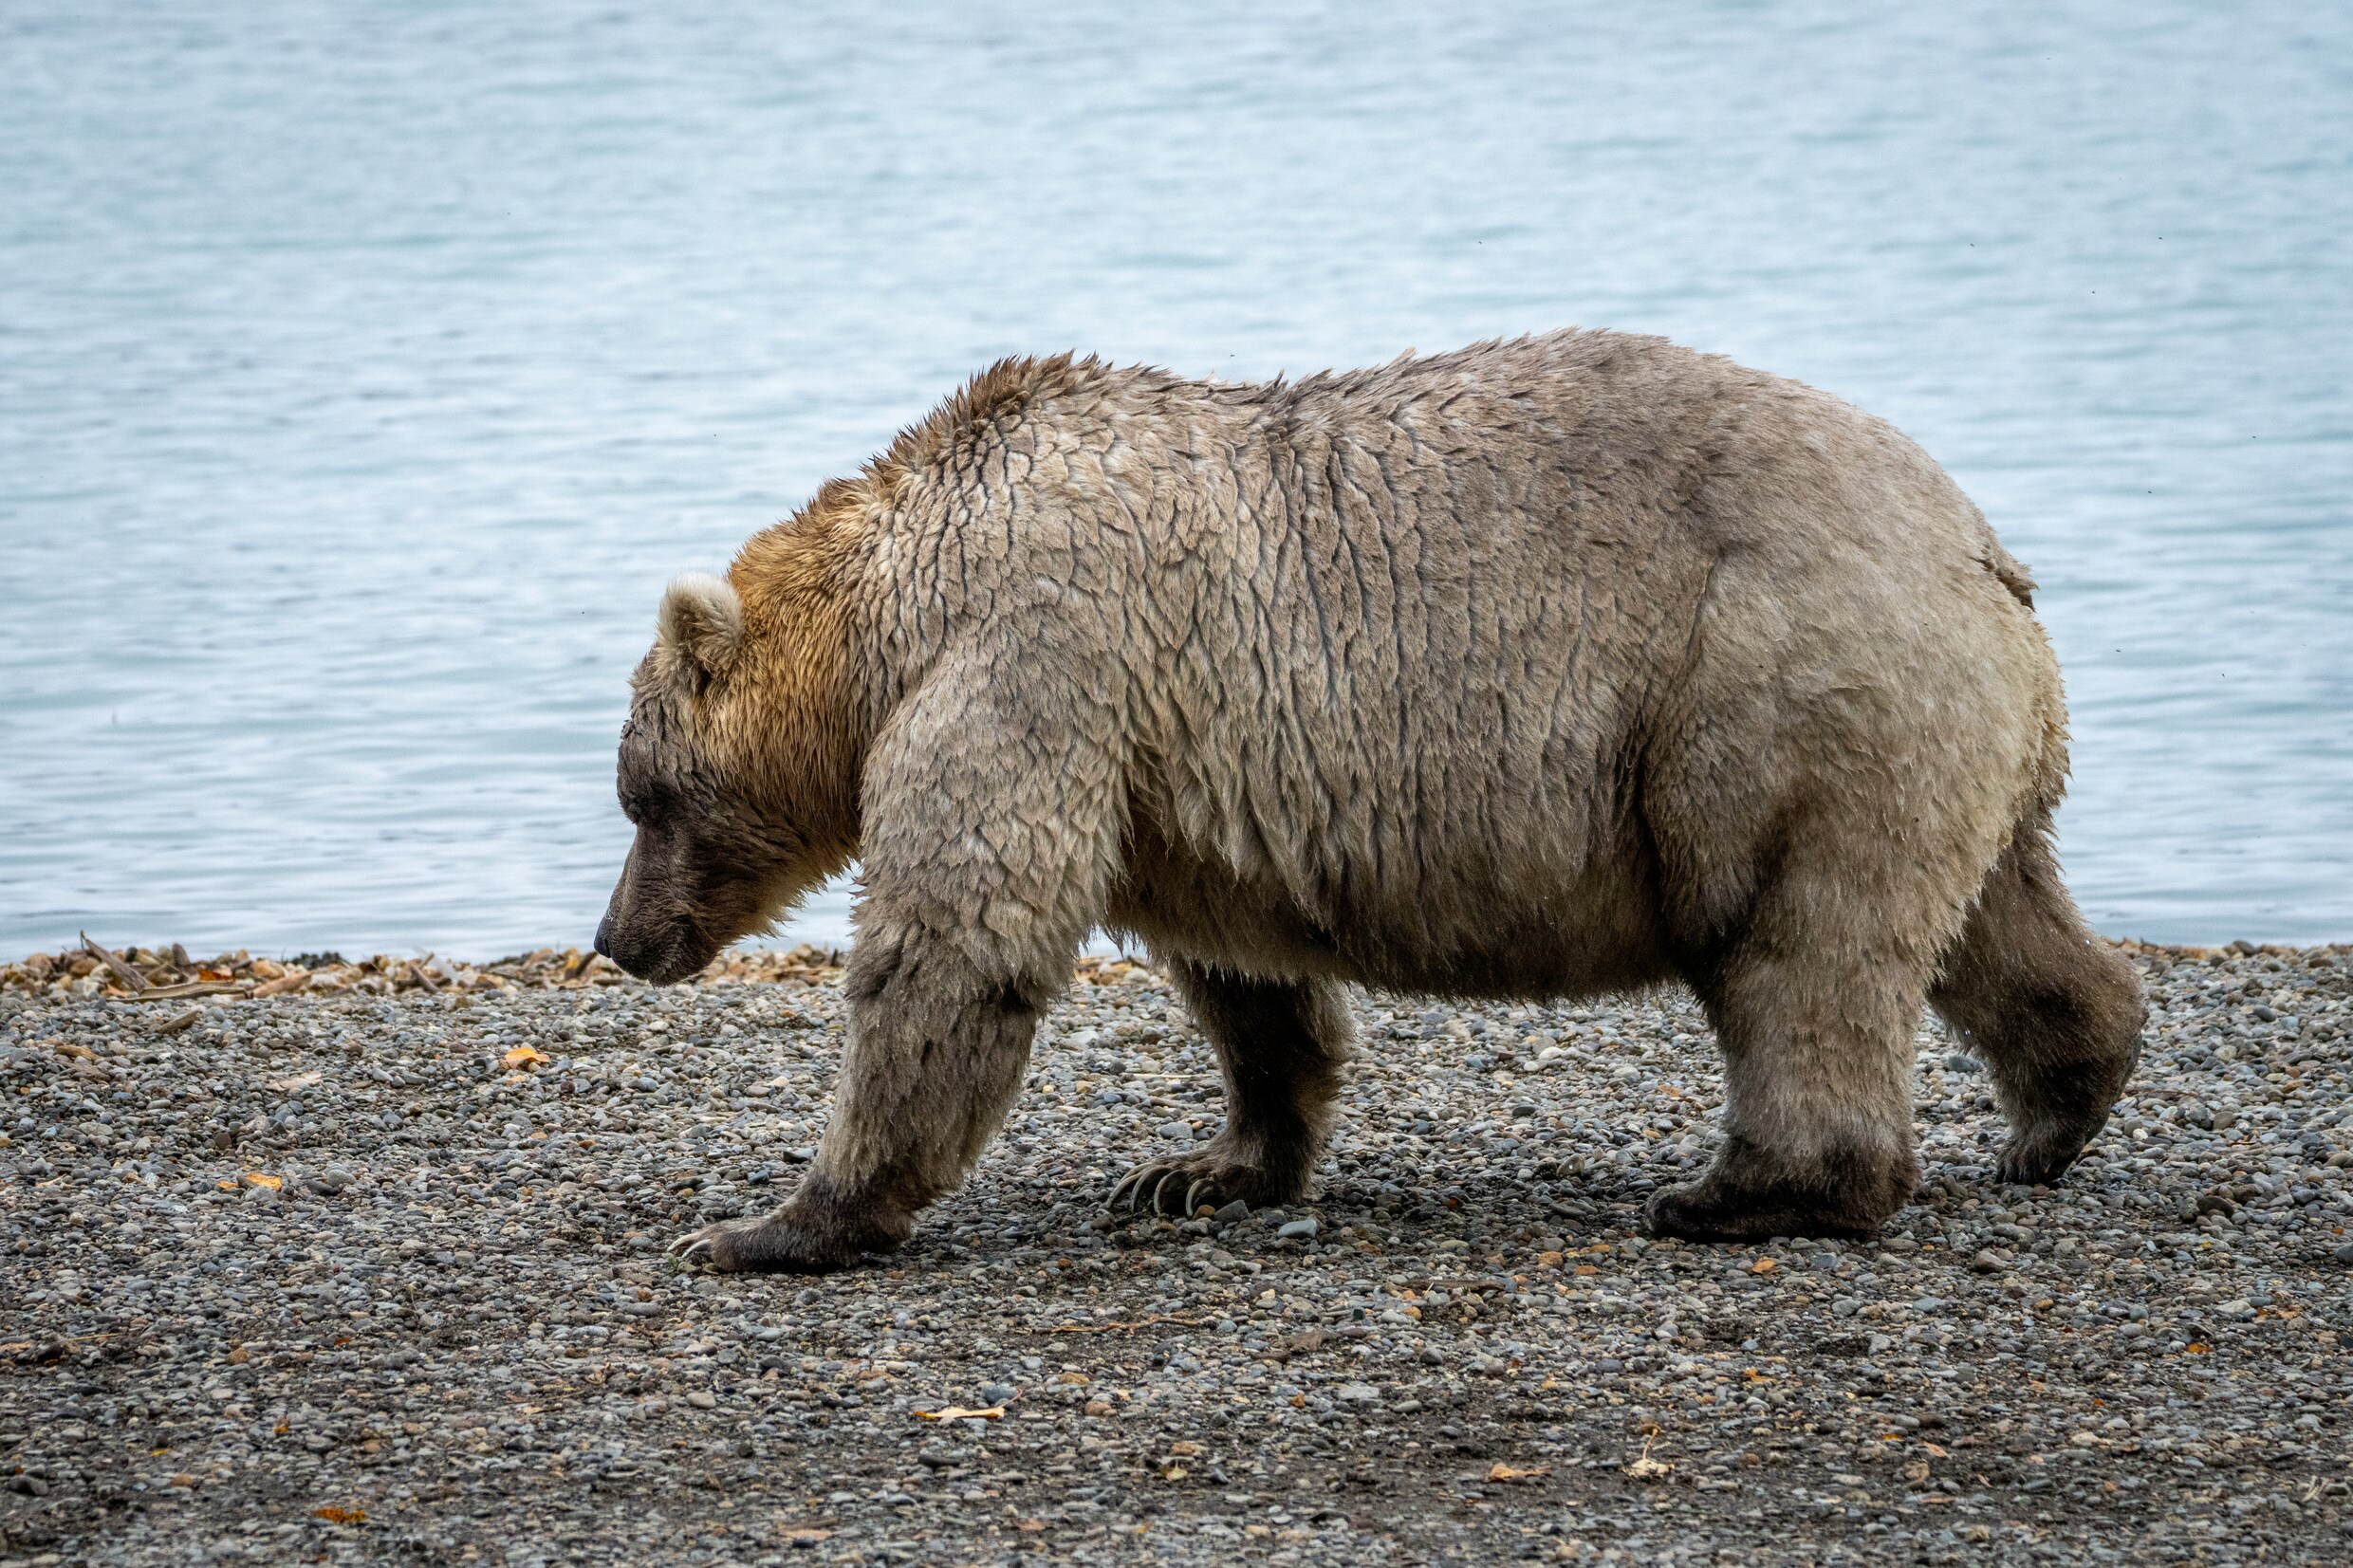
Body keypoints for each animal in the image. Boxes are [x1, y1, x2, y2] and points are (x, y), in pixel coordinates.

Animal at [593, 330, 2146, 1273]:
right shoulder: (1174, 766)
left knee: (1795, 948)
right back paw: (2056, 1106)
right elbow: (1243, 978)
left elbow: (956, 942)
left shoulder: (1034, 652)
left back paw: (1748, 1192)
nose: (617, 938)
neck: (886, 620)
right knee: (1993, 913)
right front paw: (1206, 1165)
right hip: (1939, 731)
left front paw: (772, 1223)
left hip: (1770, 698)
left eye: (639, 794)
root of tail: (1979, 549)